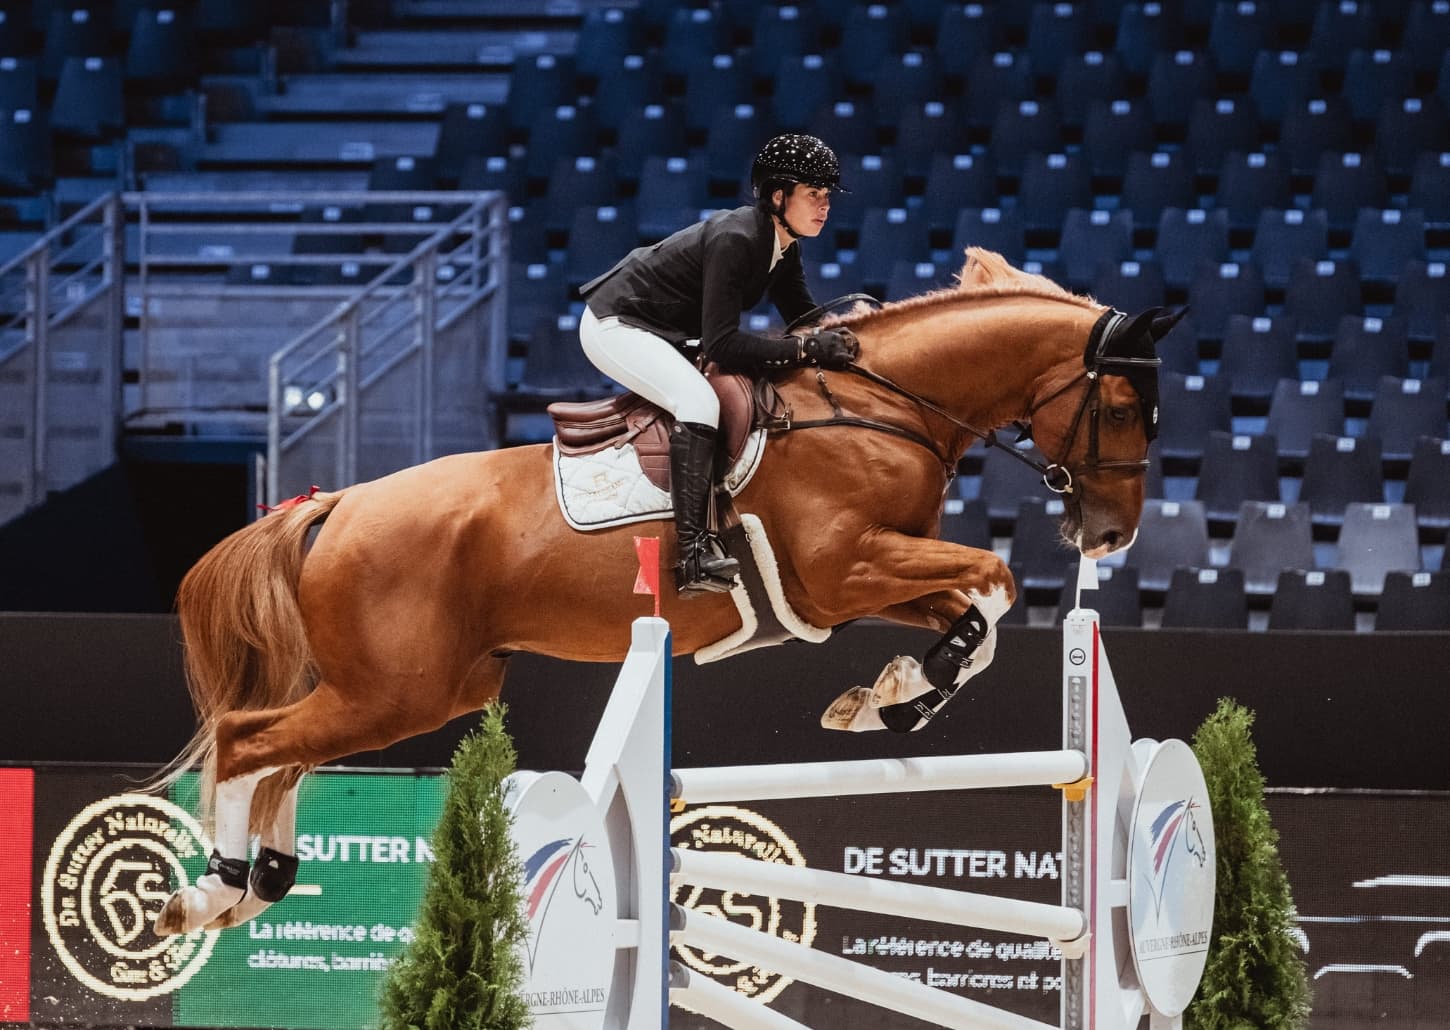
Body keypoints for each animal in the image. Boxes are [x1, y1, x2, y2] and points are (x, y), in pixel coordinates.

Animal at [153, 248, 1180, 936]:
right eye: (1122, 408)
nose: (1111, 538)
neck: (882, 403)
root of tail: (337, 504)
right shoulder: (845, 566)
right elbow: (996, 584)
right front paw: (892, 697)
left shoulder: (859, 581)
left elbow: (980, 616)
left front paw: (888, 699)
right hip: (395, 690)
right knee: (249, 740)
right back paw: (213, 889)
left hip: (426, 690)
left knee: (283, 756)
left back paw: (251, 884)